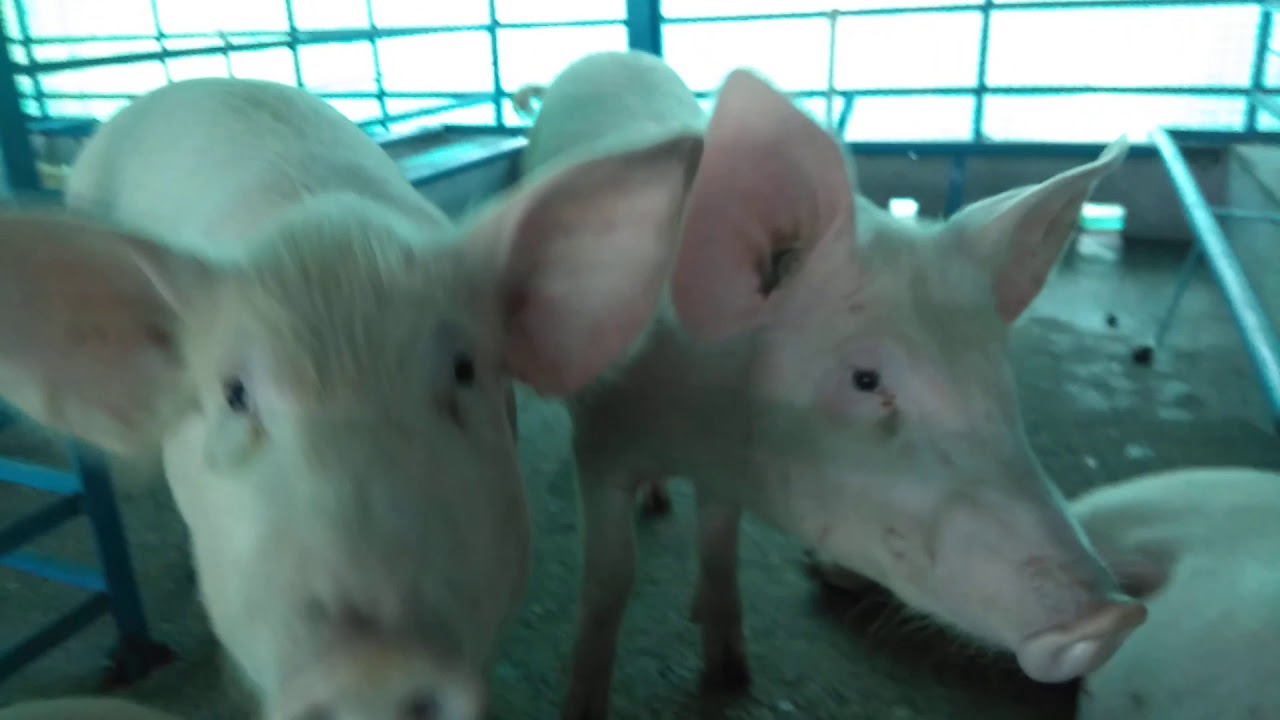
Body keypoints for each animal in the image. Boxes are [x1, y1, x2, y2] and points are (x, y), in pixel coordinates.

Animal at [515, 51, 1146, 720]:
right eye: (865, 379)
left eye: (998, 375)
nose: (1114, 616)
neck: (700, 430)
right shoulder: (599, 441)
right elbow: (610, 581)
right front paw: (583, 705)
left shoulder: (724, 475)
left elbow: (720, 547)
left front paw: (733, 673)